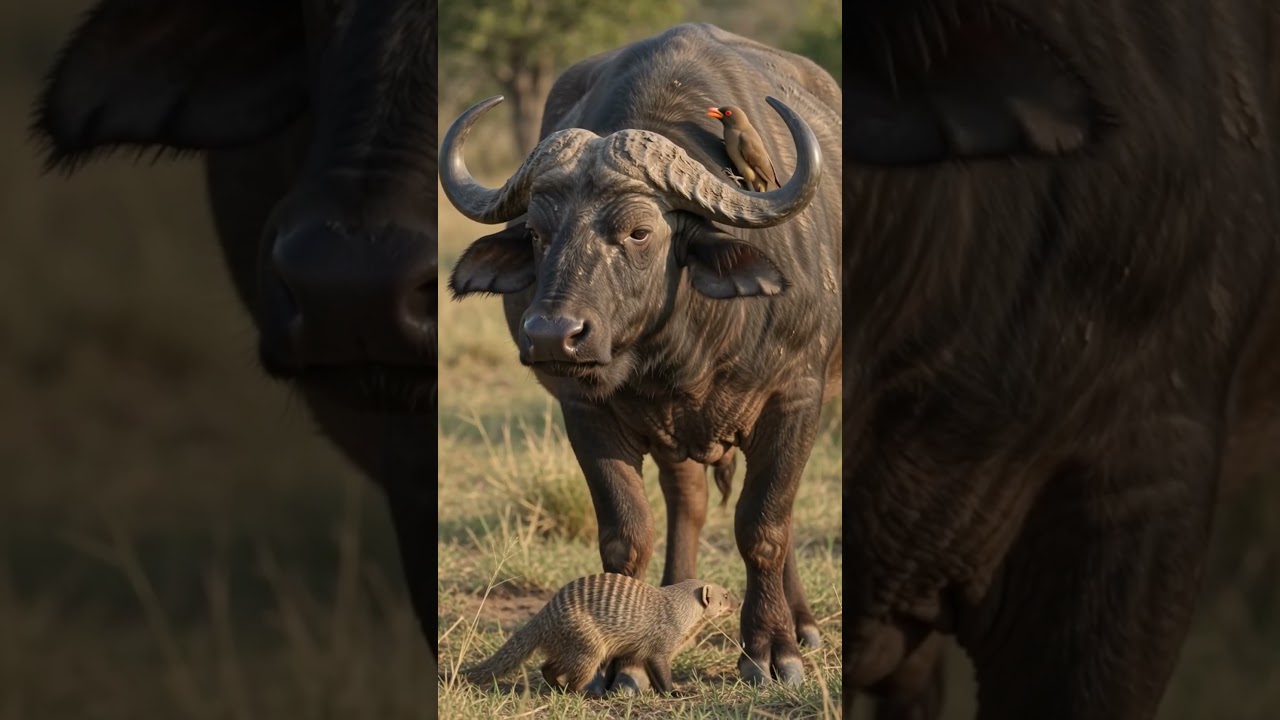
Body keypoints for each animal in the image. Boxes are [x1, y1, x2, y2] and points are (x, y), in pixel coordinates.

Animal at [441, 23, 843, 692]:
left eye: (638, 231)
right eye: (537, 234)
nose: (551, 336)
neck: (683, 348)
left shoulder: (796, 398)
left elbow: (764, 525)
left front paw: (772, 651)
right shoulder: (585, 411)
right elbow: (627, 536)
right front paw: (624, 663)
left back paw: (802, 624)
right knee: (689, 503)